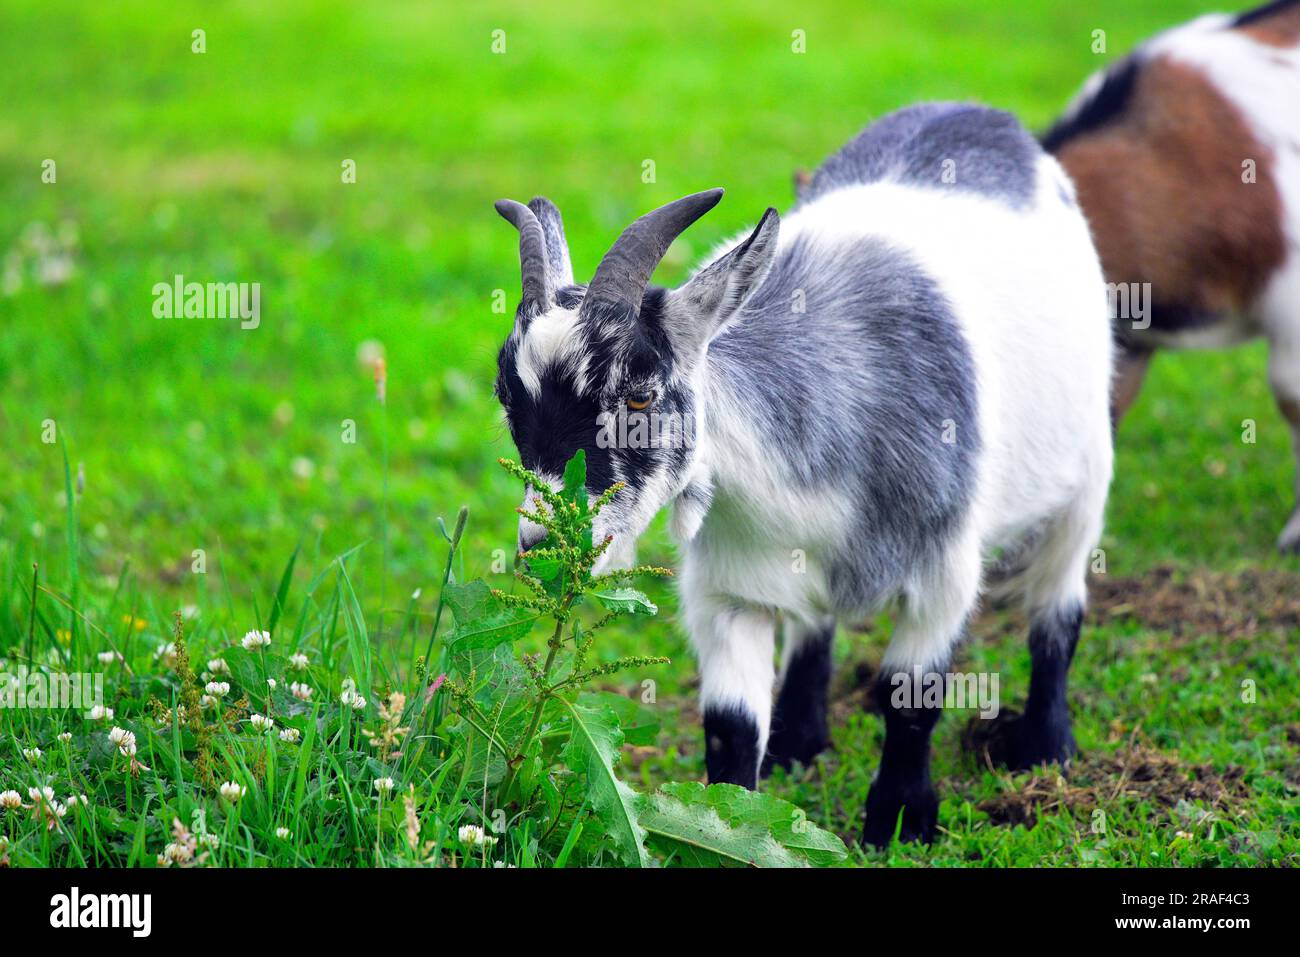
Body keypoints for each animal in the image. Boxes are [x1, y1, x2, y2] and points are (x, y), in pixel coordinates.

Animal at [492, 102, 1113, 846]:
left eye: (639, 395)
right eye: (507, 398)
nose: (544, 551)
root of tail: (976, 114)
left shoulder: (942, 568)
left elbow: (913, 695)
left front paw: (901, 820)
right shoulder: (729, 589)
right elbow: (730, 727)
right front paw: (733, 830)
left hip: (1087, 473)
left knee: (1059, 606)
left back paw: (1046, 746)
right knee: (814, 625)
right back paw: (799, 739)